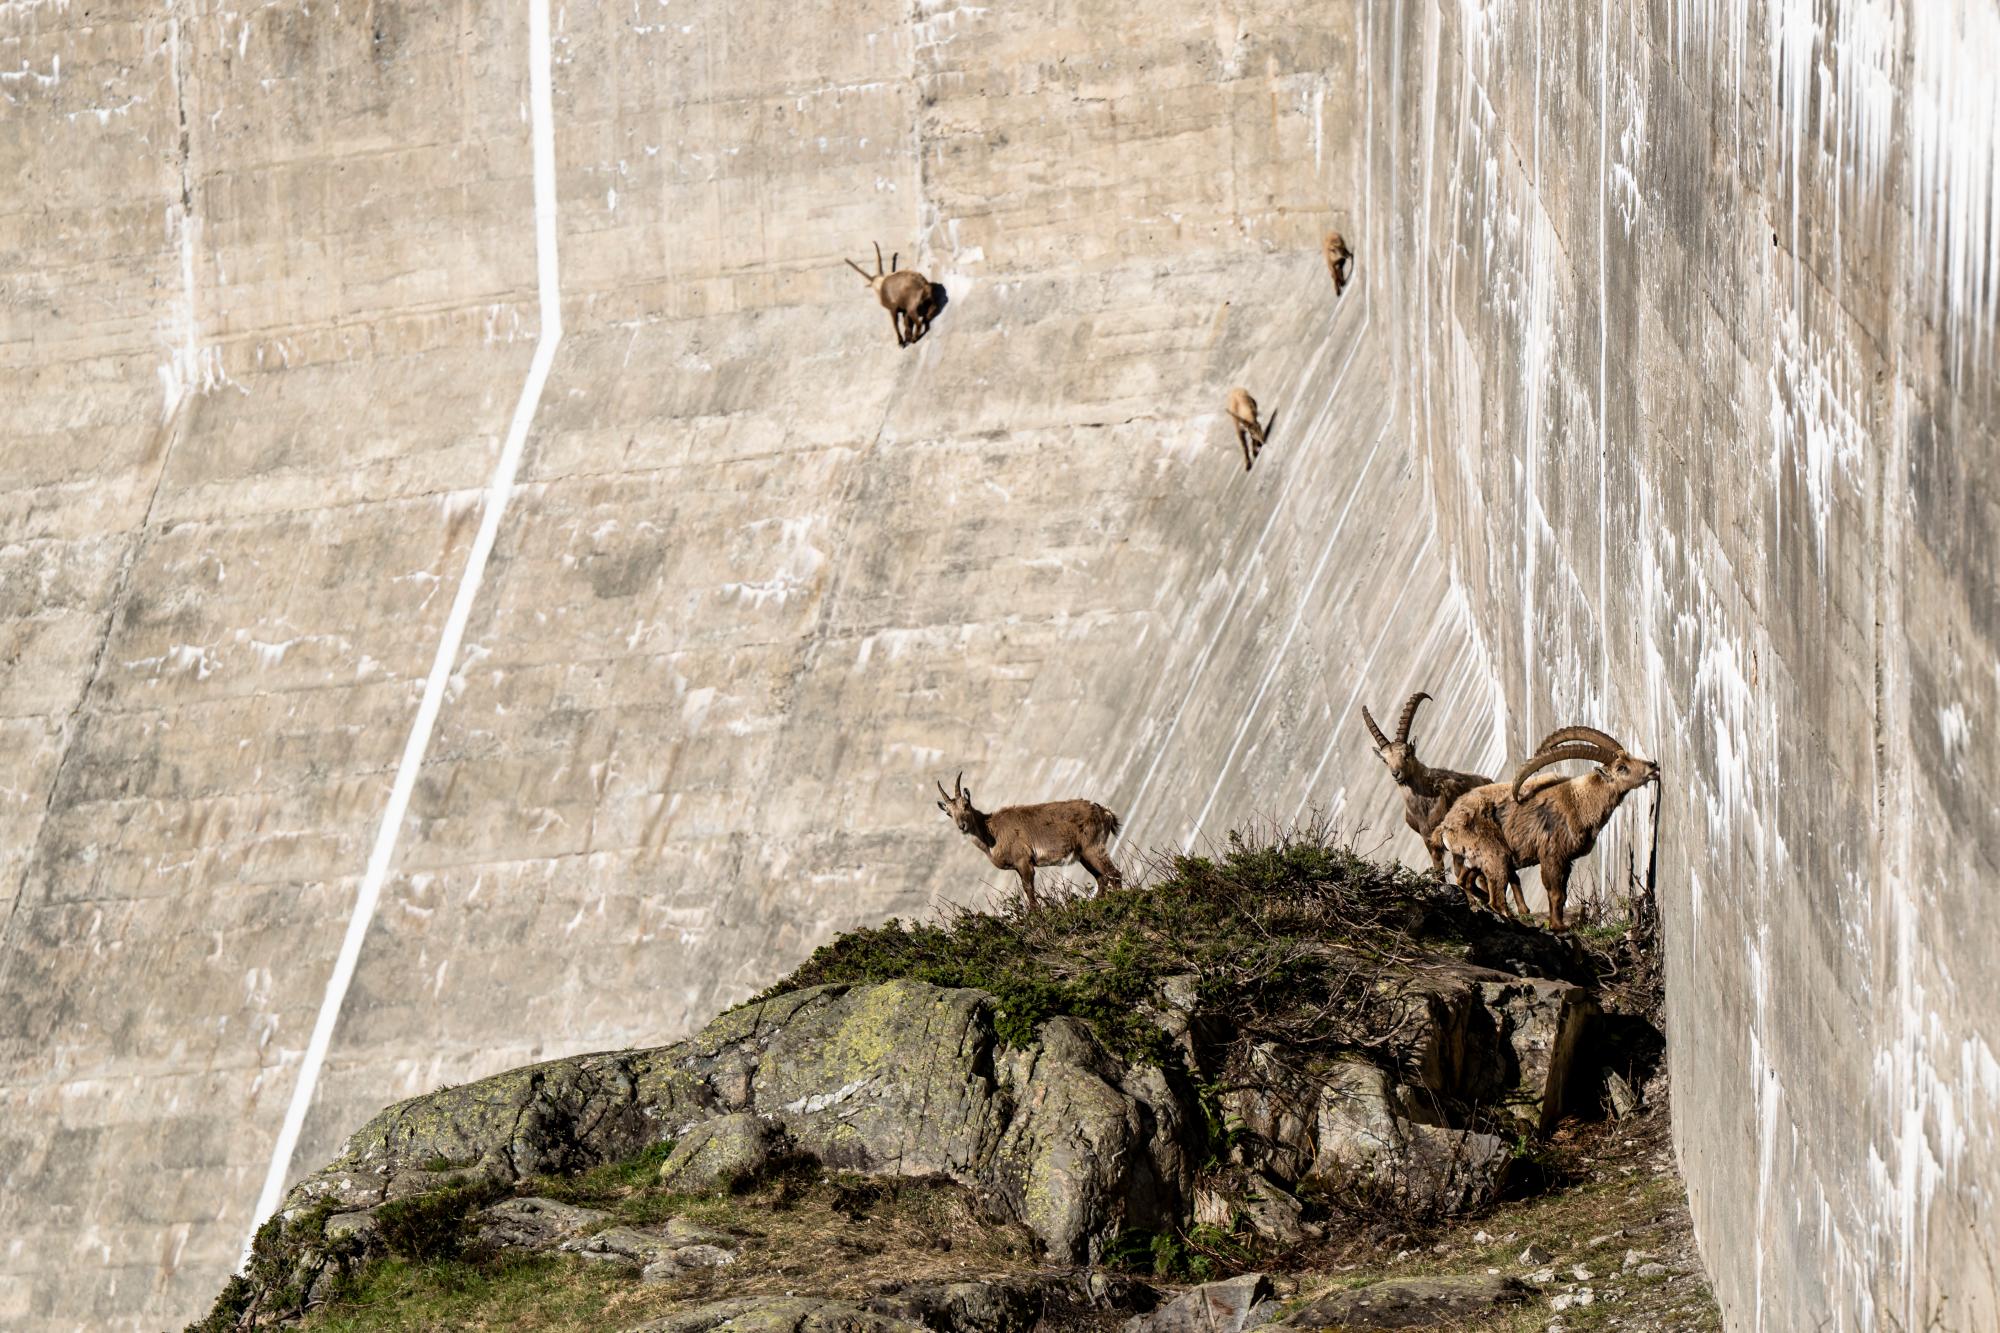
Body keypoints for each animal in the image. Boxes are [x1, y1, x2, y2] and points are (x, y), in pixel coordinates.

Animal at [935, 772, 1123, 910]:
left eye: (966, 805)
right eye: (949, 813)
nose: (962, 826)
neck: (991, 833)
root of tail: (1104, 811)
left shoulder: (1023, 860)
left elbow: (1028, 890)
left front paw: (1036, 917)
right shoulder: (1017, 866)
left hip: (1093, 847)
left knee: (1114, 874)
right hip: (1083, 854)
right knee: (1101, 878)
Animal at [1359, 691, 1490, 890]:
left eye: (1407, 753)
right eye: (1385, 760)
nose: (1396, 774)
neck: (1425, 808)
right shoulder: (1429, 842)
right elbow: (1439, 874)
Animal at [1437, 726, 1660, 931]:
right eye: (1621, 767)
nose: (1653, 766)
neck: (1579, 802)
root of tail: (1446, 826)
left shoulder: (1567, 860)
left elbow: (1562, 894)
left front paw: (1557, 924)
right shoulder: (1551, 855)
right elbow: (1555, 893)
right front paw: (1558, 927)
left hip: (1475, 860)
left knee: (1465, 881)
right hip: (1495, 856)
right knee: (1496, 899)